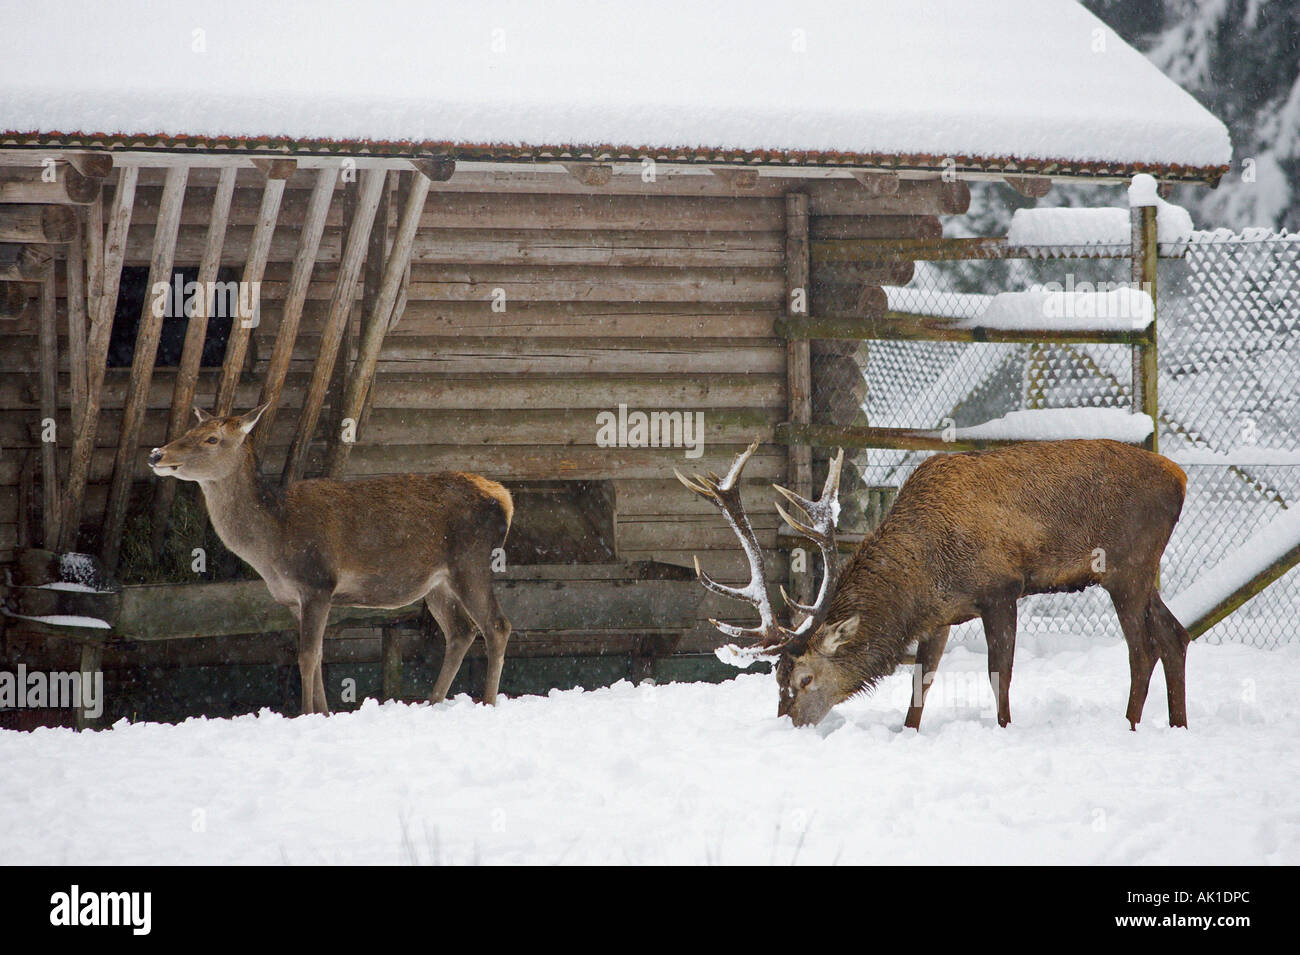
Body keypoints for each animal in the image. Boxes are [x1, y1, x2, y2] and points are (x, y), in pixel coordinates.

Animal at [148, 404, 513, 716]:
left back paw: (489, 702)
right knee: (461, 630)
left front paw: (306, 713)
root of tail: (505, 498)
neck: (273, 545)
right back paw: (433, 702)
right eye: (190, 428)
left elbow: (307, 656)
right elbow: (319, 653)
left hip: (472, 561)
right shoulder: (293, 599)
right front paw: (323, 712)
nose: (156, 453)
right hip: (437, 582)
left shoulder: (317, 582)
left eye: (212, 438)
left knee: (497, 625)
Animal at [678, 438, 1192, 732]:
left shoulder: (1000, 589)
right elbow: (921, 681)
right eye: (776, 679)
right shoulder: (939, 617)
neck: (923, 575)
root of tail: (1181, 478)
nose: (787, 727)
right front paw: (909, 731)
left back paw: (1129, 726)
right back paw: (1177, 725)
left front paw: (1003, 729)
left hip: (1127, 565)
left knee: (1142, 648)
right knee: (1175, 634)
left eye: (804, 678)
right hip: (1142, 573)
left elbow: (998, 674)